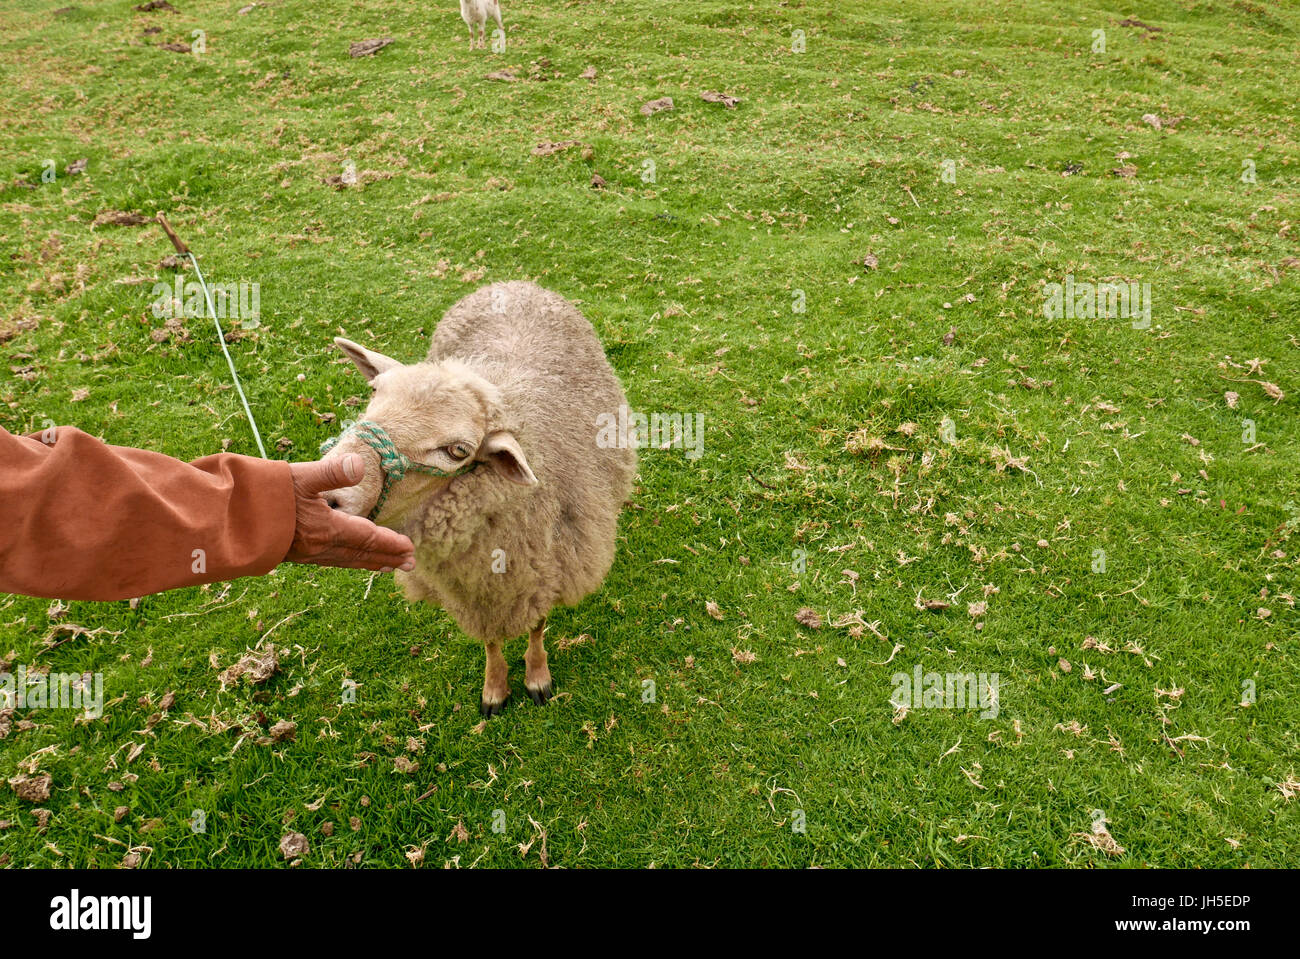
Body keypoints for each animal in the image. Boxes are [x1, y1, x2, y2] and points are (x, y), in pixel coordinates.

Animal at [321, 281, 636, 715]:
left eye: (458, 451)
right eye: (373, 392)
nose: (331, 490)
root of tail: (514, 282)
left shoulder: (545, 567)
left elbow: (537, 626)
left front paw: (537, 677)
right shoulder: (476, 590)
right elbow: (490, 638)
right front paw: (495, 688)